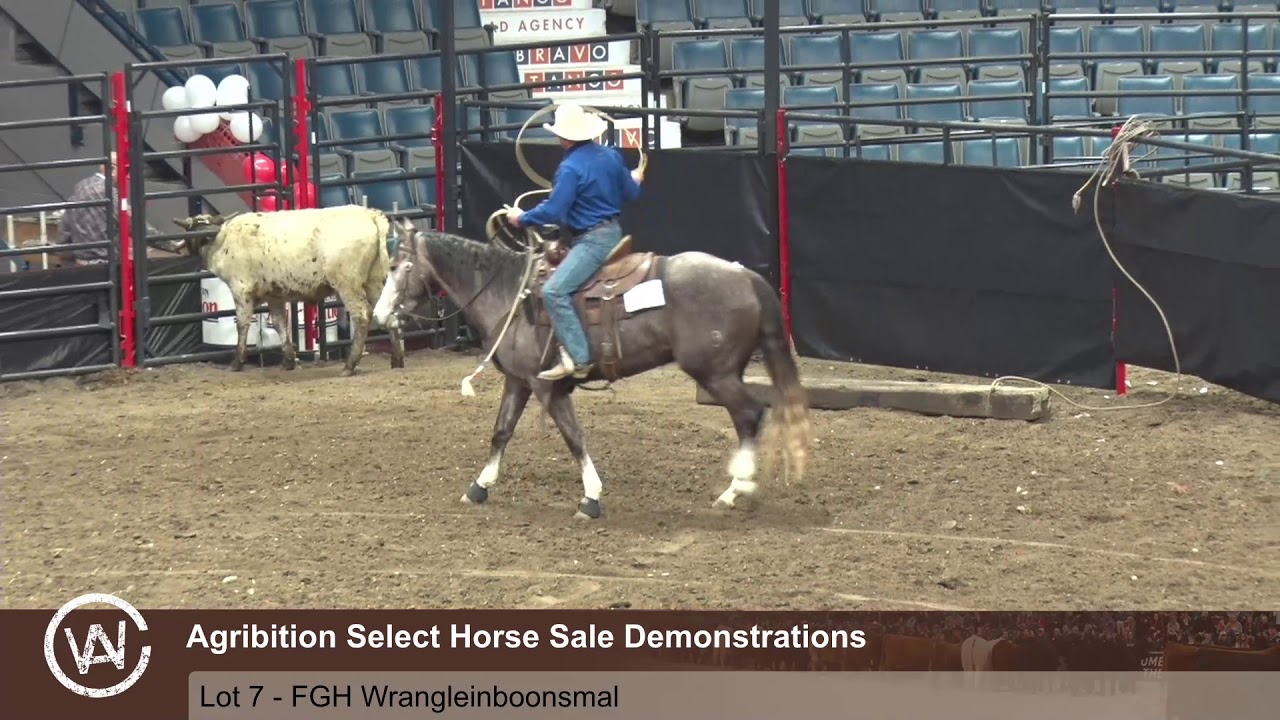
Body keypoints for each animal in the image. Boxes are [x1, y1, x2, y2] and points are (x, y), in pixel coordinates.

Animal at [372, 218, 811, 519]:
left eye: (396, 266)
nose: (378, 315)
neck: (509, 293)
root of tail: (746, 276)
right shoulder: (518, 381)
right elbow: (501, 432)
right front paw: (479, 487)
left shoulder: (546, 387)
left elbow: (574, 437)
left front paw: (591, 498)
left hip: (714, 373)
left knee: (749, 414)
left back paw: (735, 490)